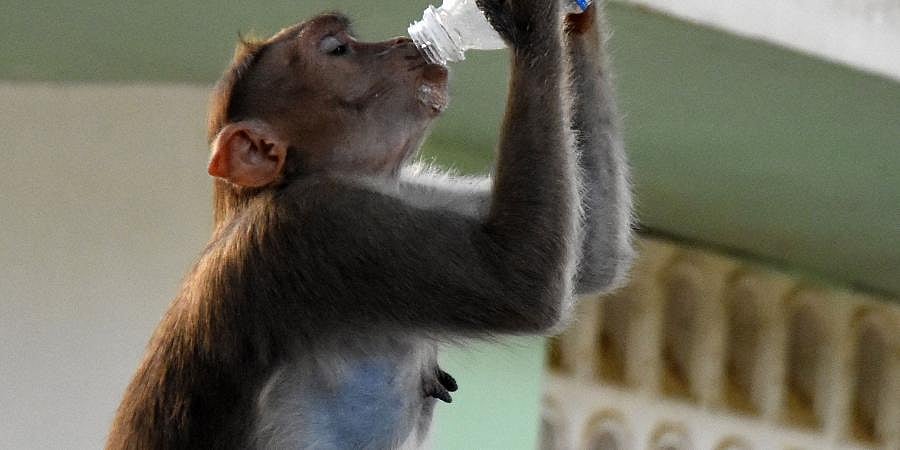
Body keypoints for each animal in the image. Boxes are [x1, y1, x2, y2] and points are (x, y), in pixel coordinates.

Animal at [106, 1, 632, 448]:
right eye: (338, 49)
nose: (401, 42)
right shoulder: (319, 226)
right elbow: (517, 276)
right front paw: (528, 18)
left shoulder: (405, 188)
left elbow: (591, 258)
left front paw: (579, 19)